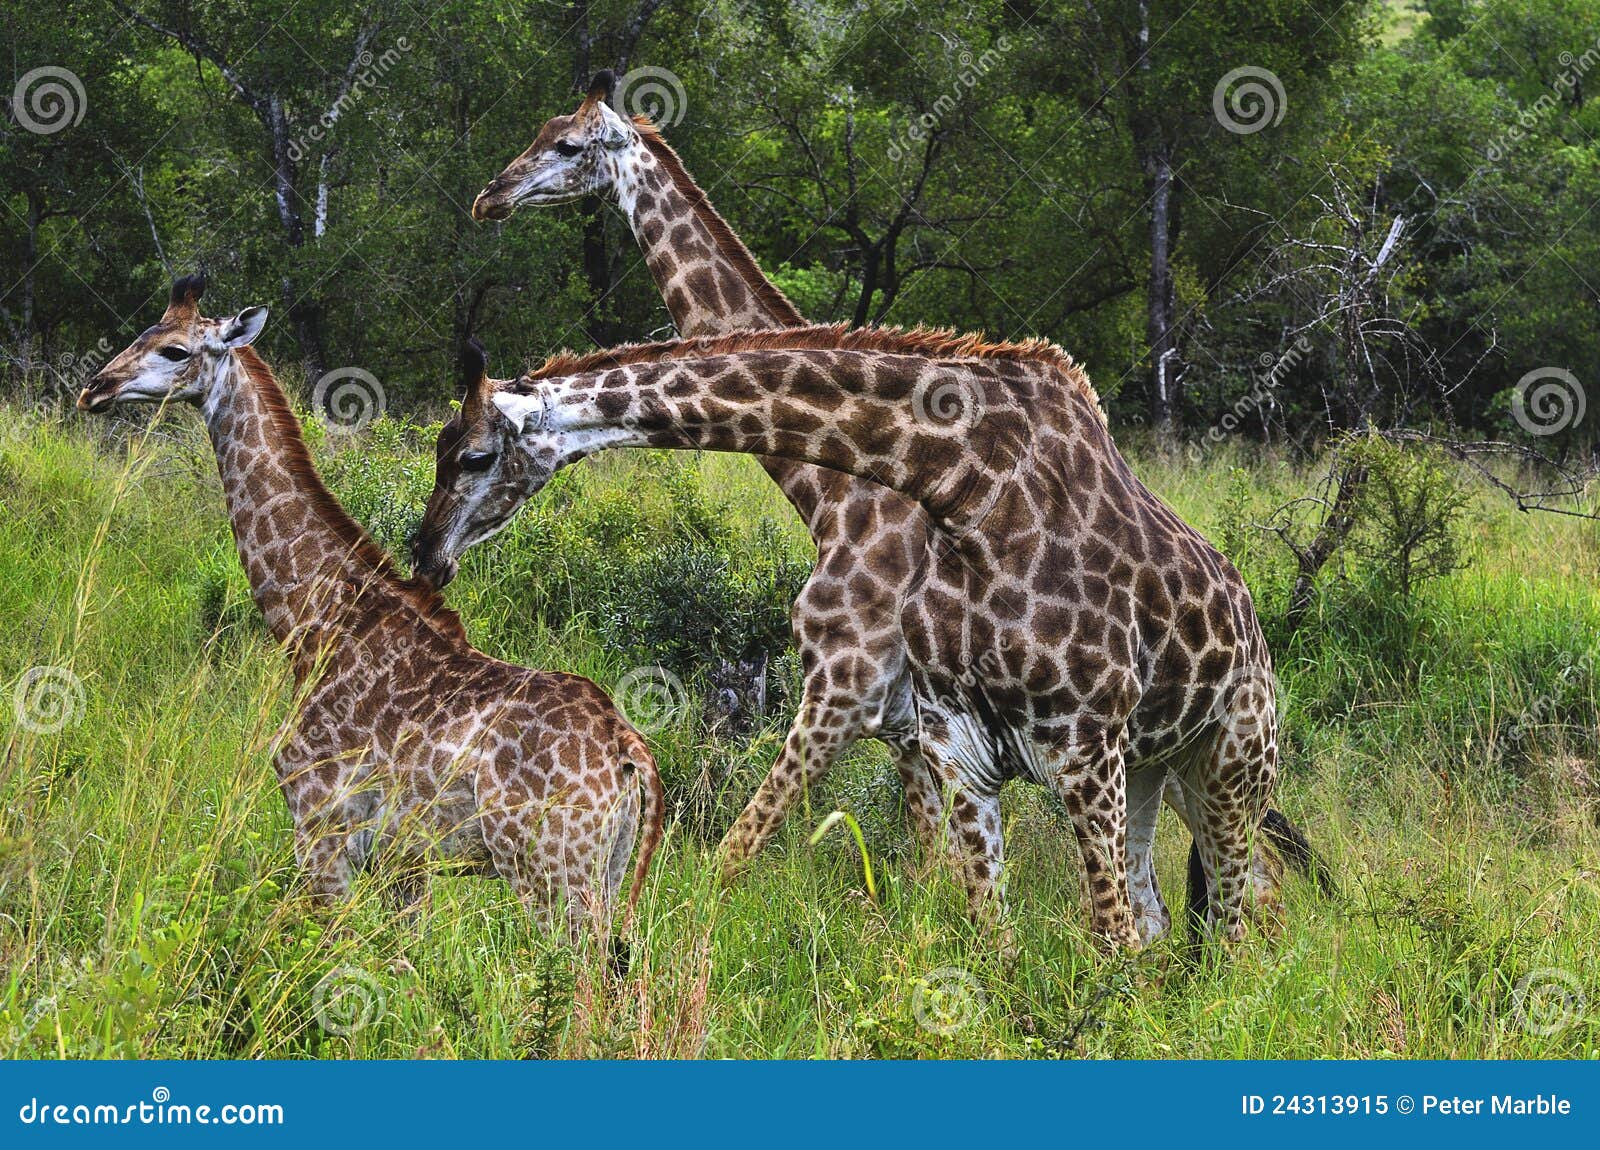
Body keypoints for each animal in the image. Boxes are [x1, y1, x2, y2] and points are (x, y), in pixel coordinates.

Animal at [77, 276, 664, 944]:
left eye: (174, 350)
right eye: (142, 331)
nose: (95, 388)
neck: (312, 622)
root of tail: (628, 750)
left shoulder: (321, 826)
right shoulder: (404, 860)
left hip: (550, 871)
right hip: (606, 871)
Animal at [417, 326, 1283, 948]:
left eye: (475, 455)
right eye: (438, 449)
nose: (425, 557)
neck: (963, 493)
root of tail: (1255, 629)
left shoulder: (1080, 741)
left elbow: (1107, 942)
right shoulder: (959, 748)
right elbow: (993, 938)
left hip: (1231, 770)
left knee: (1231, 925)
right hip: (1155, 769)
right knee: (1166, 916)